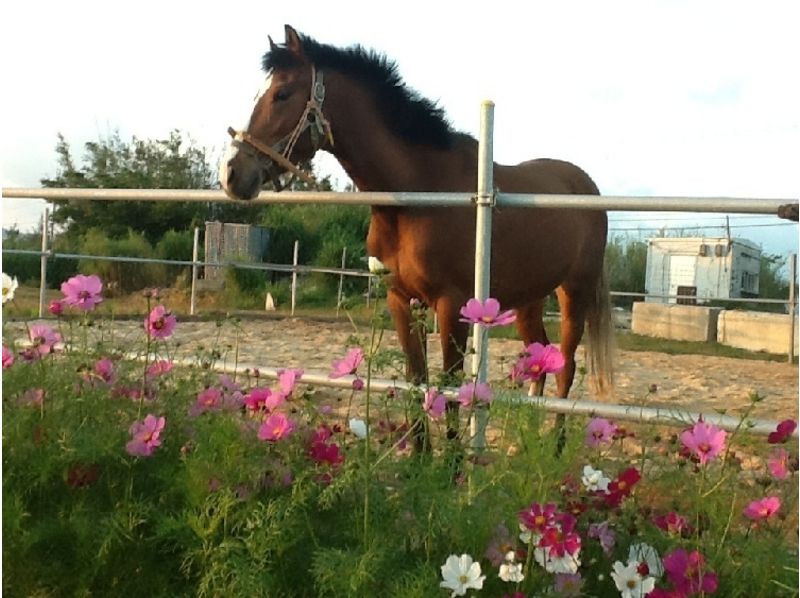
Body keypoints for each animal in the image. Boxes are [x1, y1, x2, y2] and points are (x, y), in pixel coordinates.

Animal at [221, 25, 614, 431]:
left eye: (282, 94)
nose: (232, 173)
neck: (418, 192)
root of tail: (585, 185)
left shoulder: (452, 305)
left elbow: (451, 390)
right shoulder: (401, 300)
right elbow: (416, 382)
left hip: (574, 294)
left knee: (566, 369)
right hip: (527, 300)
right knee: (540, 362)